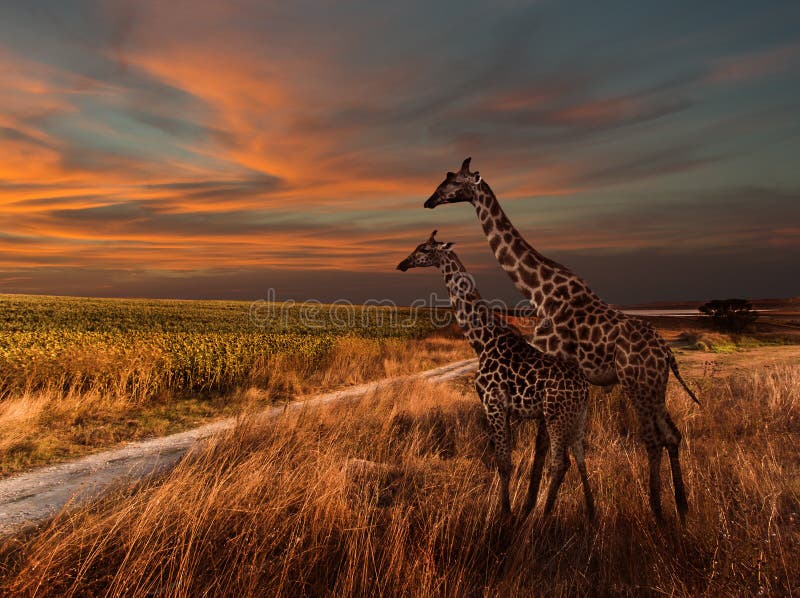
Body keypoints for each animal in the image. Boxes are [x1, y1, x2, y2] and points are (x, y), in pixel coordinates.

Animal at [397, 231, 594, 520]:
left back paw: (544, 518)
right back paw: (592, 514)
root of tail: (584, 389)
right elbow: (504, 459)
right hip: (577, 417)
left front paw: (505, 514)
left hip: (556, 415)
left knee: (560, 463)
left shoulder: (493, 403)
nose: (403, 264)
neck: (482, 340)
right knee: (580, 458)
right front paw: (508, 511)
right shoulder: (506, 409)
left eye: (424, 249)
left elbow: (503, 462)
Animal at [423, 158, 700, 524]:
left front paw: (531, 509)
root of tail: (666, 351)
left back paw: (657, 510)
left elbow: (542, 445)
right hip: (655, 386)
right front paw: (535, 506)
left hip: (636, 383)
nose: (429, 201)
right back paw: (681, 507)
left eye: (454, 181)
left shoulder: (551, 362)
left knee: (653, 439)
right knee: (672, 434)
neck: (537, 290)